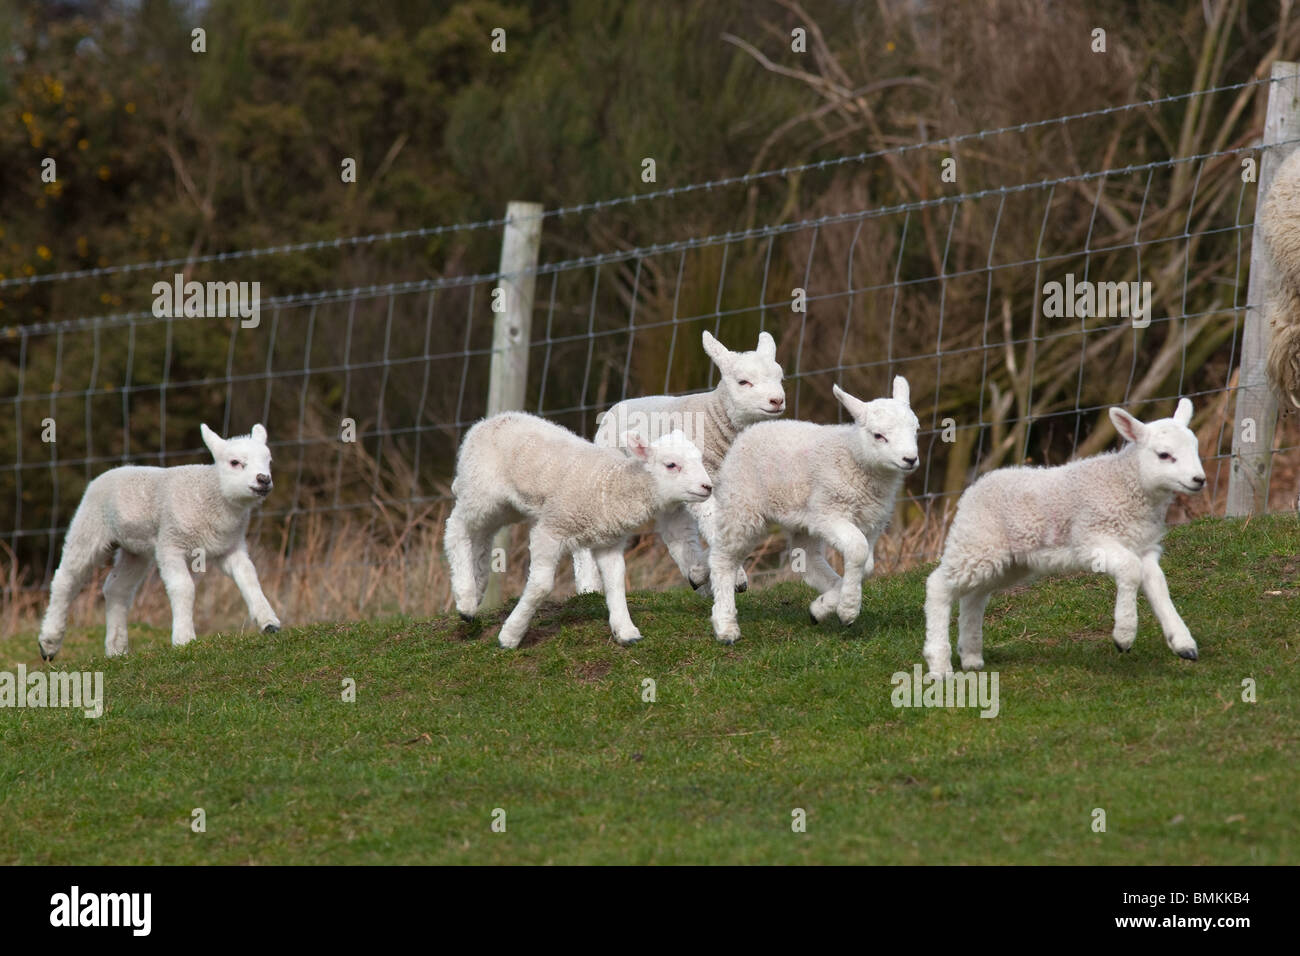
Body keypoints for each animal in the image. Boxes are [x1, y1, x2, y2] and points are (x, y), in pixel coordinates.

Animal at [38, 424, 281, 660]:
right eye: (235, 462)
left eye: (269, 461)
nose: (264, 479)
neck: (212, 495)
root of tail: (115, 469)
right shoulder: (170, 543)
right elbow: (183, 587)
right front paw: (184, 638)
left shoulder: (230, 547)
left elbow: (249, 577)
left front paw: (268, 622)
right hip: (89, 526)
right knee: (66, 579)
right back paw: (49, 642)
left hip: (136, 549)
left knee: (117, 588)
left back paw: (116, 648)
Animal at [444, 411, 713, 649]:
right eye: (671, 465)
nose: (707, 486)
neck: (611, 486)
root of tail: (484, 423)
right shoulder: (551, 528)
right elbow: (541, 586)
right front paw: (511, 635)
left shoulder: (608, 541)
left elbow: (616, 581)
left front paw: (625, 631)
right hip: (481, 489)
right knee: (456, 527)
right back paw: (466, 598)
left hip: (505, 506)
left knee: (482, 536)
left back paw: (473, 594)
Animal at [571, 330, 786, 596]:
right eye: (743, 382)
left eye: (781, 378)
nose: (777, 400)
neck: (715, 420)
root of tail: (614, 408)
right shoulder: (702, 479)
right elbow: (713, 520)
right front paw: (736, 577)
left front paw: (716, 574)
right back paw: (588, 588)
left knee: (677, 533)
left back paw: (697, 578)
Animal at [707, 376, 920, 644]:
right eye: (878, 436)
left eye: (916, 430)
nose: (910, 459)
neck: (855, 458)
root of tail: (747, 432)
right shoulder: (828, 510)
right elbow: (858, 551)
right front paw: (848, 609)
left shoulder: (872, 522)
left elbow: (867, 564)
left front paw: (825, 606)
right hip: (742, 504)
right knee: (723, 558)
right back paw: (725, 625)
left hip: (800, 517)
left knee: (807, 559)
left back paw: (820, 607)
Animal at [922, 399, 1205, 676]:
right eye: (1164, 455)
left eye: (1195, 448)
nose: (1199, 479)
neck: (1128, 484)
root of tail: (974, 488)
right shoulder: (1091, 537)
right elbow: (1130, 569)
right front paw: (1124, 634)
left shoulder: (1143, 546)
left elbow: (1157, 584)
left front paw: (1182, 642)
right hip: (977, 542)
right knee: (938, 585)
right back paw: (940, 664)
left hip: (1008, 560)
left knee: (974, 596)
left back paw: (971, 656)